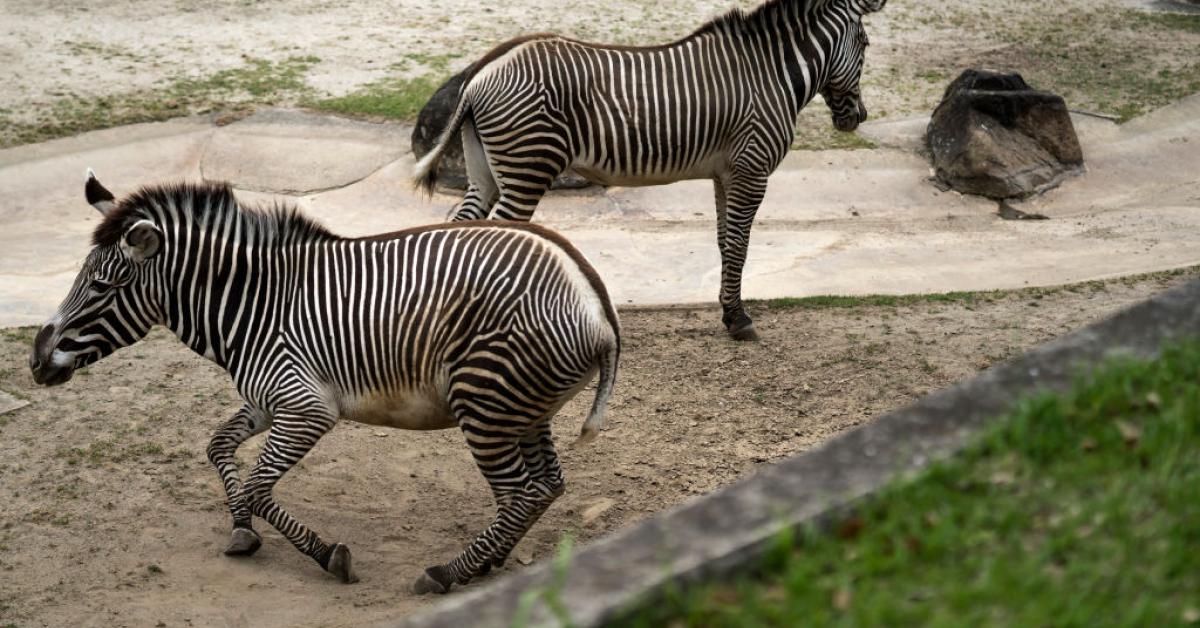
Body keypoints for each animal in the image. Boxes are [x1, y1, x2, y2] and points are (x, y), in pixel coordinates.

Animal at [28, 172, 620, 595]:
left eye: (99, 286)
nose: (35, 363)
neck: (252, 306)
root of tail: (594, 299)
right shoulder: (270, 400)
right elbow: (218, 447)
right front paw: (241, 530)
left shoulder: (306, 407)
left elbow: (259, 486)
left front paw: (326, 555)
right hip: (523, 408)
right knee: (546, 486)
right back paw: (489, 561)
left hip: (484, 403)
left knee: (521, 492)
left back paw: (448, 573)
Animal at [414, 0, 885, 341]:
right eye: (864, 44)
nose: (857, 118)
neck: (770, 75)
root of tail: (482, 70)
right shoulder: (752, 170)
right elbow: (740, 245)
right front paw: (739, 320)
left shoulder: (726, 173)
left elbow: (724, 242)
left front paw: (727, 311)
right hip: (528, 167)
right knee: (498, 236)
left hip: (484, 172)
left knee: (460, 228)